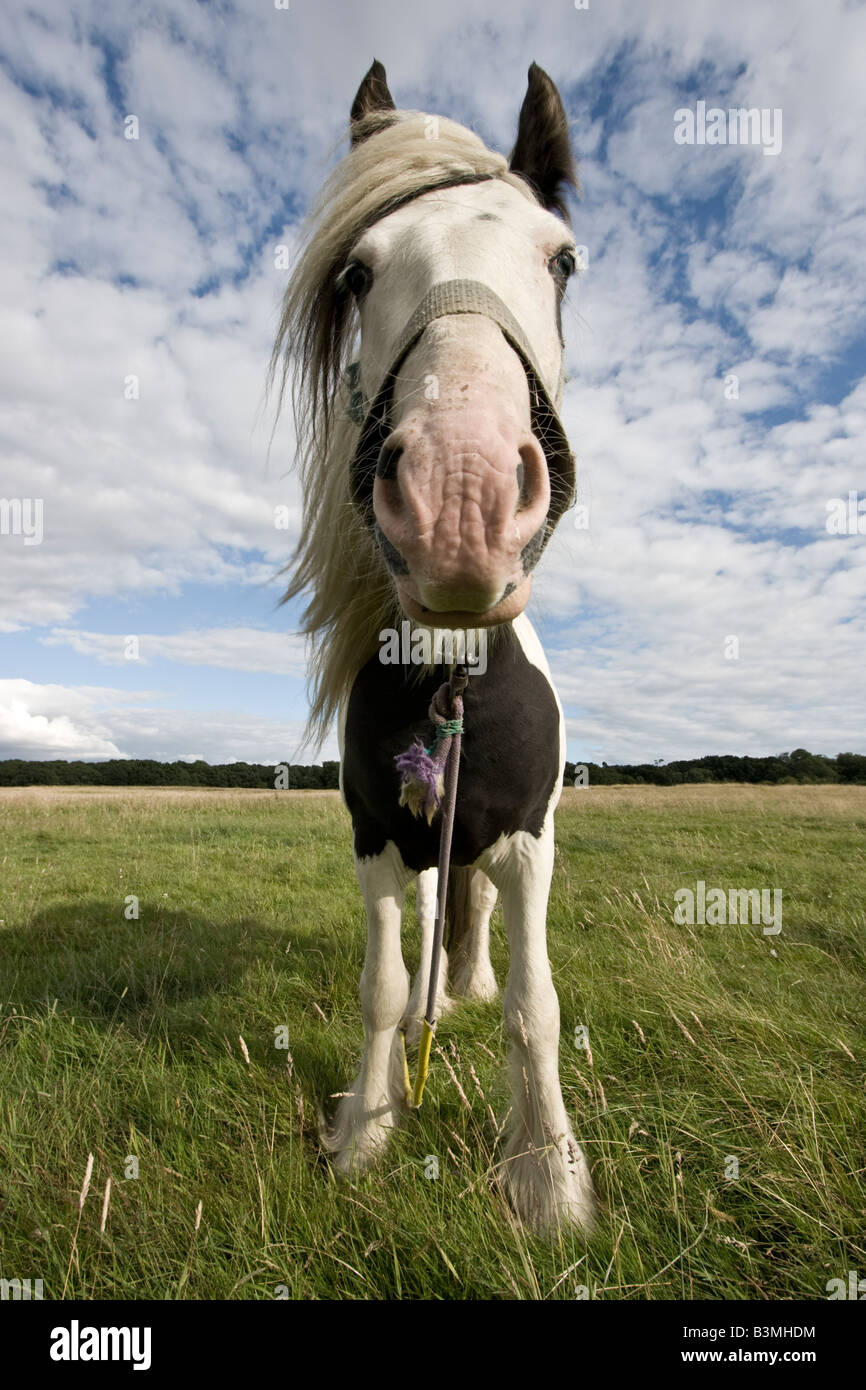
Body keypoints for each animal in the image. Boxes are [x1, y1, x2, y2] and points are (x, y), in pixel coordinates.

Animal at [271, 59, 597, 1234]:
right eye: (359, 270)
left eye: (561, 260)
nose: (461, 499)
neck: (454, 671)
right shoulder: (375, 835)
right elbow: (377, 987)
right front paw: (363, 1132)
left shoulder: (532, 841)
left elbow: (536, 1001)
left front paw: (546, 1175)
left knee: (476, 920)